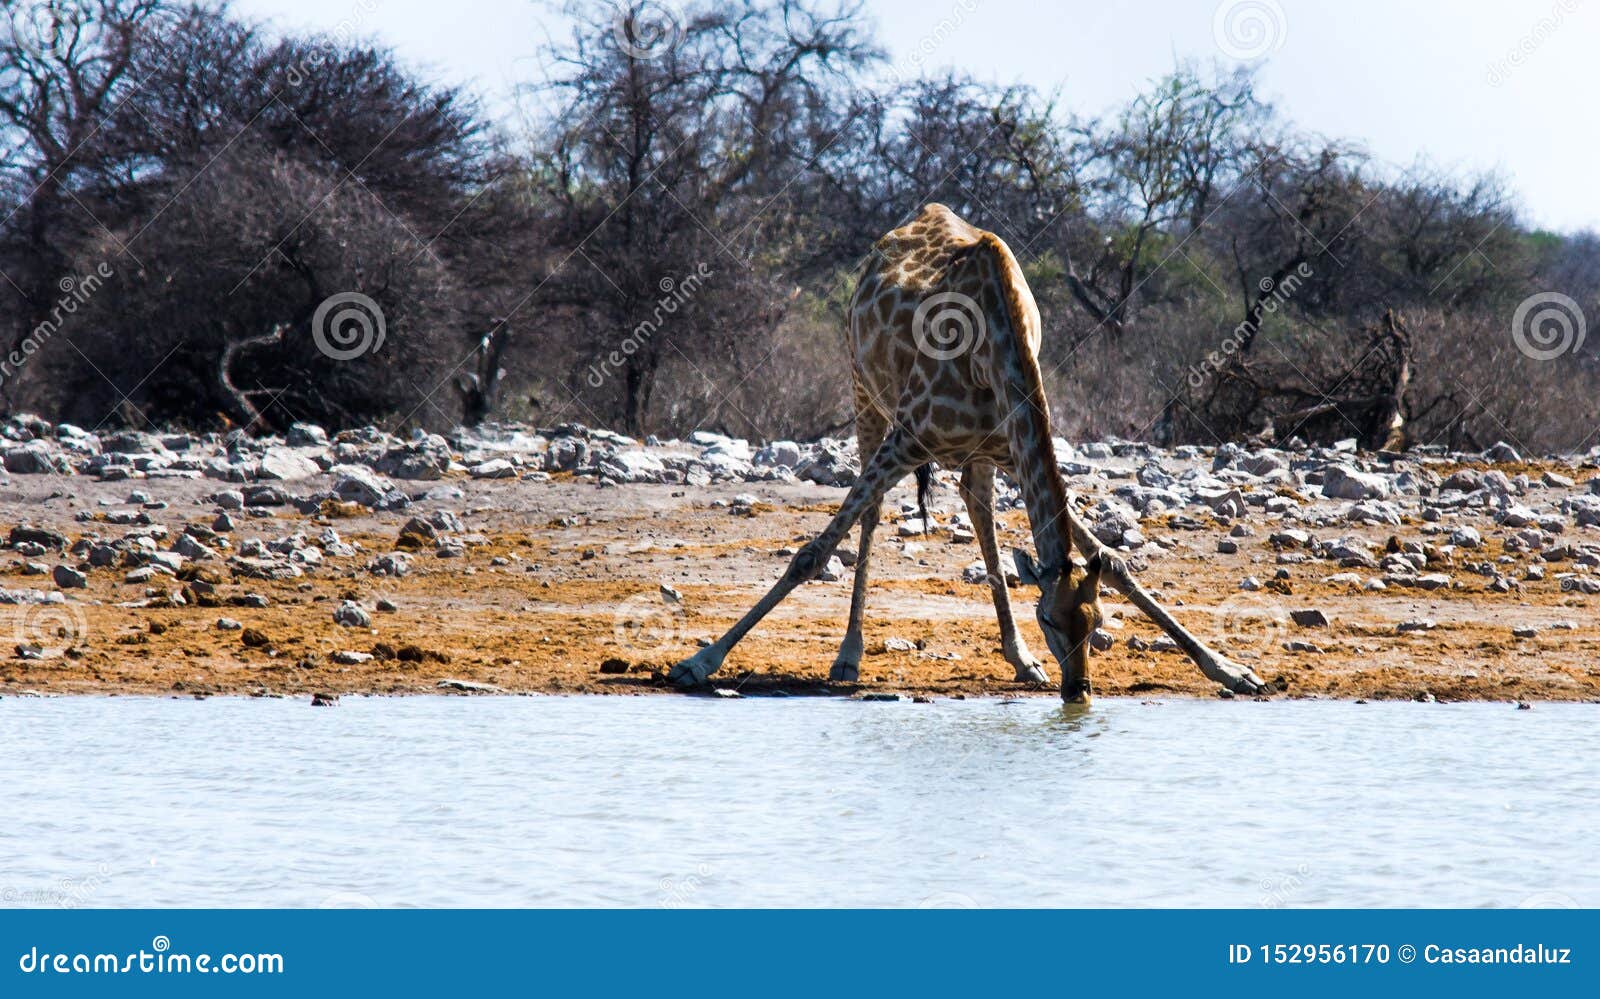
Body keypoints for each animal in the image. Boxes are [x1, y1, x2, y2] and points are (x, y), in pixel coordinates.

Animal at [670, 204, 1268, 701]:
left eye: (1097, 623)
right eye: (1049, 619)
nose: (1078, 691)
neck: (996, 347)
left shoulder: (1010, 450)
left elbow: (1115, 562)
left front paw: (1231, 669)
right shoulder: (907, 437)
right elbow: (812, 553)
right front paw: (699, 661)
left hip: (974, 454)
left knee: (977, 509)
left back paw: (1021, 660)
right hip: (864, 393)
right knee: (871, 515)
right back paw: (848, 656)